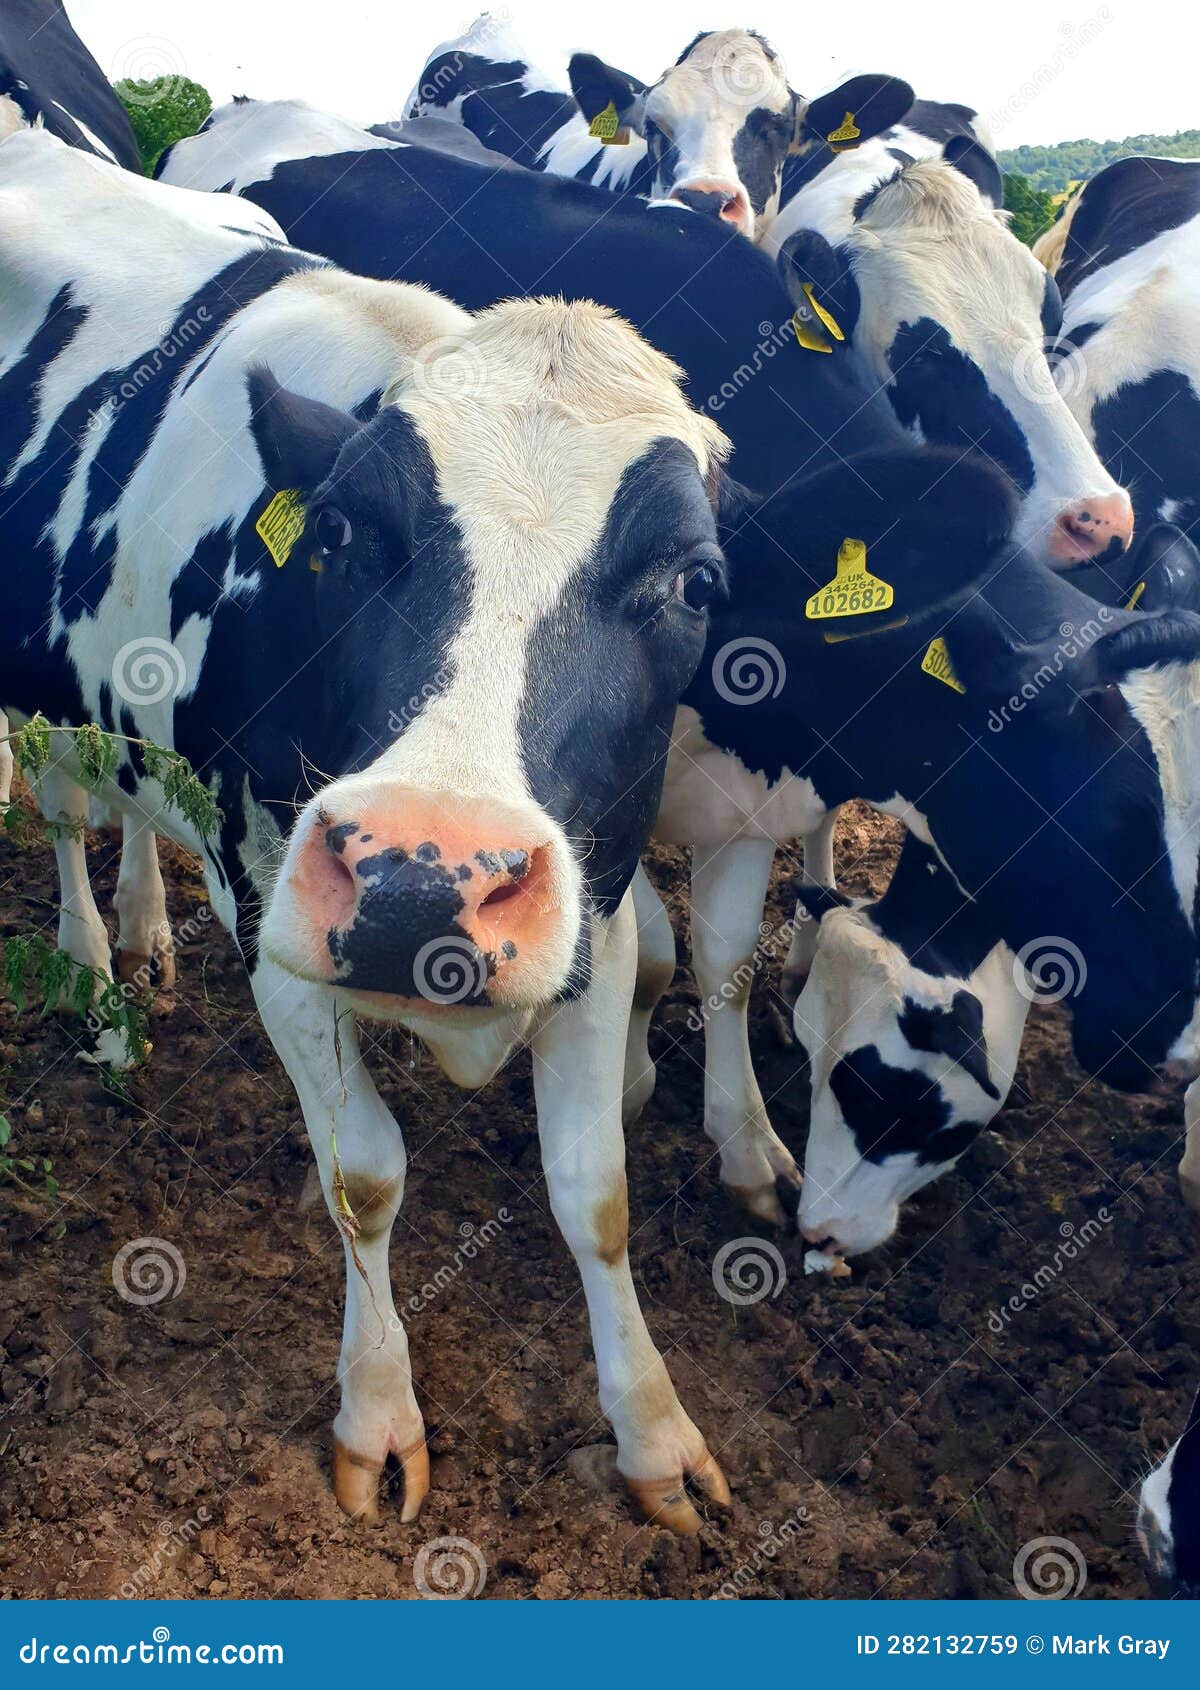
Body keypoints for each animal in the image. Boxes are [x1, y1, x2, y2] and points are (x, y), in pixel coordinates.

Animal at [0, 129, 746, 1533]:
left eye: (696, 582)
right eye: (341, 530)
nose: (419, 879)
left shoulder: (597, 920)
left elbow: (596, 1191)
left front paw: (658, 1436)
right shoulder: (277, 922)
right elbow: (367, 1175)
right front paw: (379, 1415)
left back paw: (137, 932)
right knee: (66, 799)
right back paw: (93, 974)